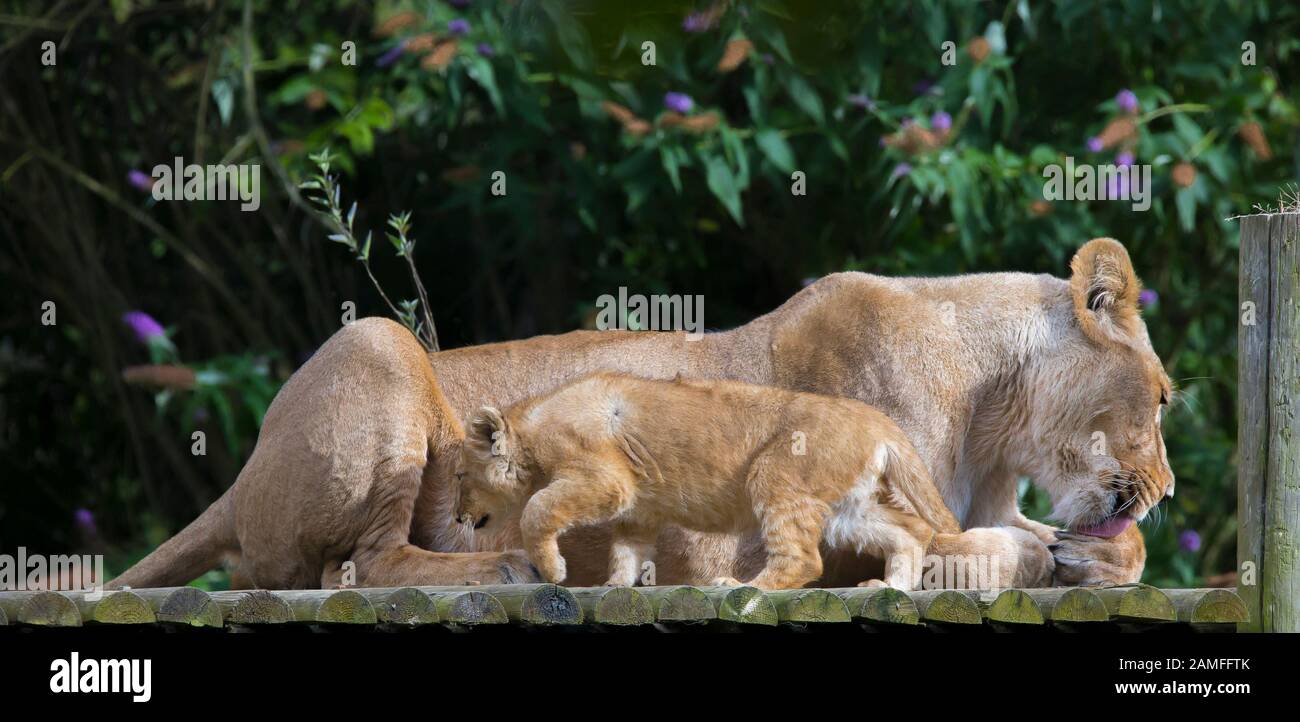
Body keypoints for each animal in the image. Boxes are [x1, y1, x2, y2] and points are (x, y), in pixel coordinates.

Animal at [451, 374, 1053, 590]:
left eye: (458, 475)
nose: (455, 515)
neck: (533, 425)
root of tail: (875, 419)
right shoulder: (638, 507)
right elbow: (627, 551)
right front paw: (614, 589)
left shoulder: (606, 480)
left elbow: (537, 510)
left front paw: (553, 571)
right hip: (846, 506)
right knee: (908, 531)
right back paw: (890, 588)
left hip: (776, 475)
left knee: (803, 562)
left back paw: (745, 588)